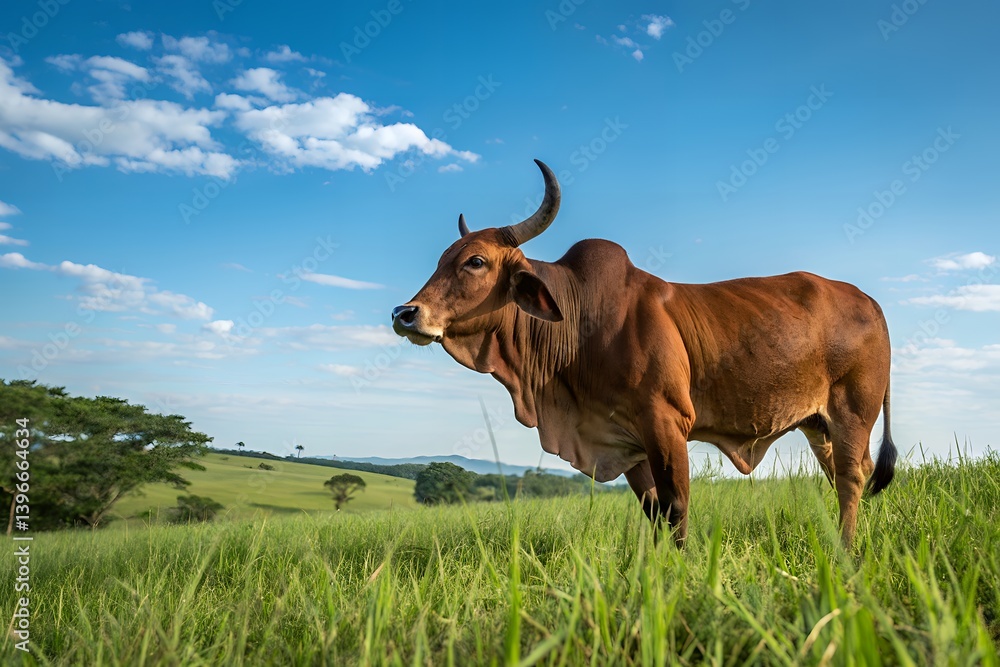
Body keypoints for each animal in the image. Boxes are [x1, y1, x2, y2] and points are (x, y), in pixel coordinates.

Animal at [391, 160, 897, 547]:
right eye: (441, 258)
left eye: (475, 261)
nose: (405, 313)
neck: (579, 325)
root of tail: (870, 301)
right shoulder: (625, 440)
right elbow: (653, 510)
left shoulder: (667, 422)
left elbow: (676, 506)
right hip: (818, 425)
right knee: (847, 474)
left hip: (852, 414)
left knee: (852, 478)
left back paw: (846, 549)